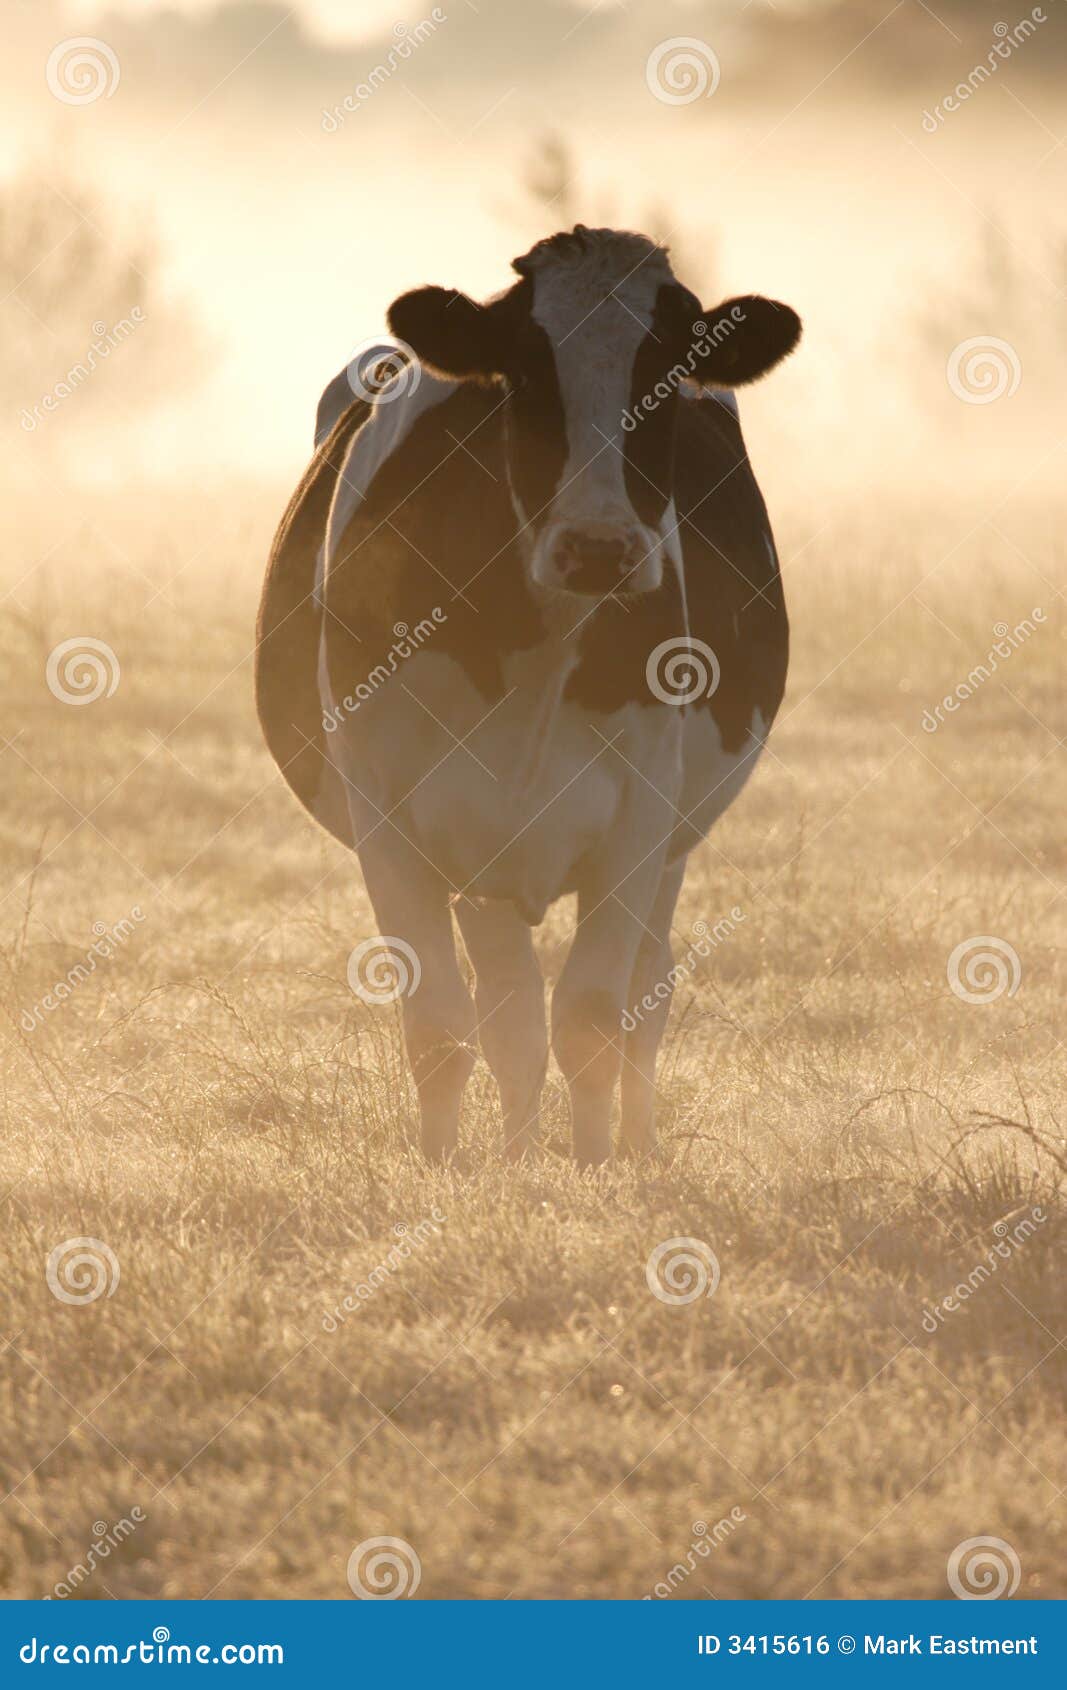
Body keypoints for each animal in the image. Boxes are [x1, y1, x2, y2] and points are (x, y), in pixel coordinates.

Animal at [256, 226, 800, 1168]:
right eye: (524, 373)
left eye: (670, 371)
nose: (598, 547)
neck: (539, 648)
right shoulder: (389, 818)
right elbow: (443, 1027)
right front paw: (446, 1172)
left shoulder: (638, 819)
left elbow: (592, 1018)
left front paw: (591, 1171)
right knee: (508, 1012)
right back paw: (512, 1154)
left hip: (669, 841)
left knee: (644, 995)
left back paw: (635, 1148)